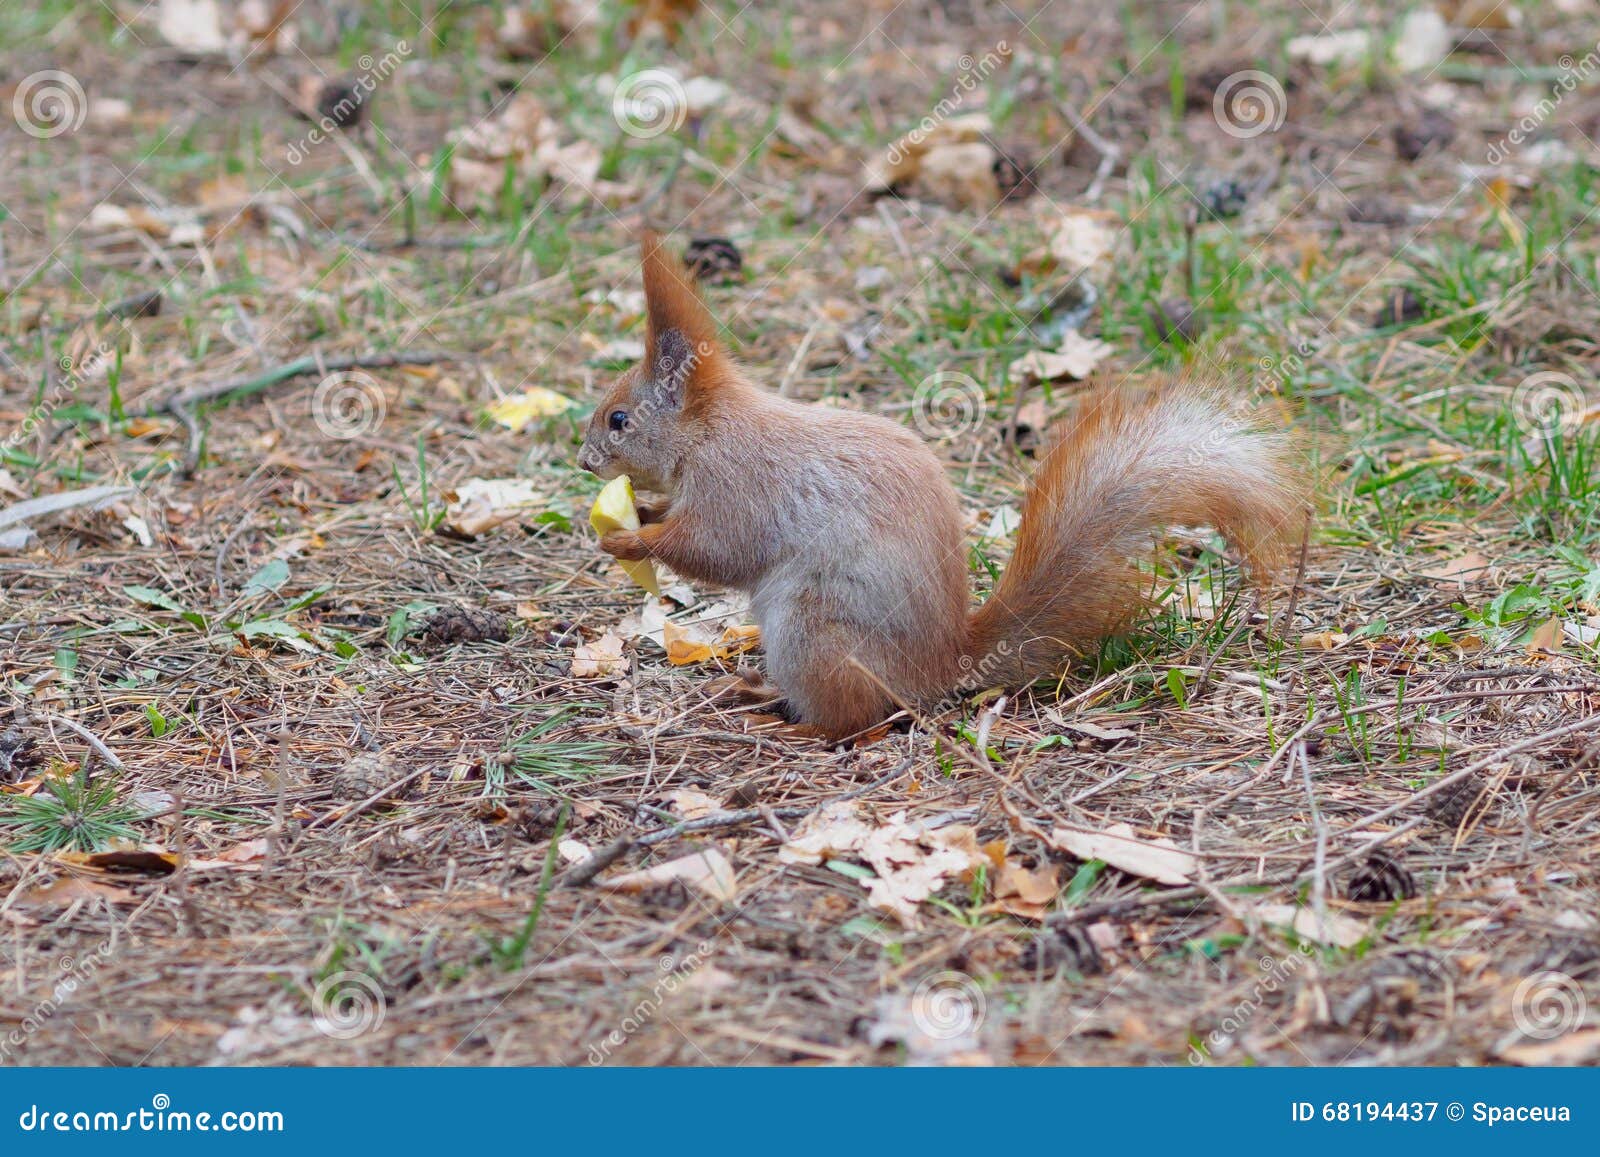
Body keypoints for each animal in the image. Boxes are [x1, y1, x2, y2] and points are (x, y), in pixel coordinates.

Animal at [577, 233, 1308, 740]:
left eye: (619, 419)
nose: (585, 460)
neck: (708, 431)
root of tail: (941, 664)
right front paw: (643, 510)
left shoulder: (737, 486)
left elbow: (715, 551)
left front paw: (629, 540)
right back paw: (758, 693)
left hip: (813, 632)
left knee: (856, 721)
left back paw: (792, 727)